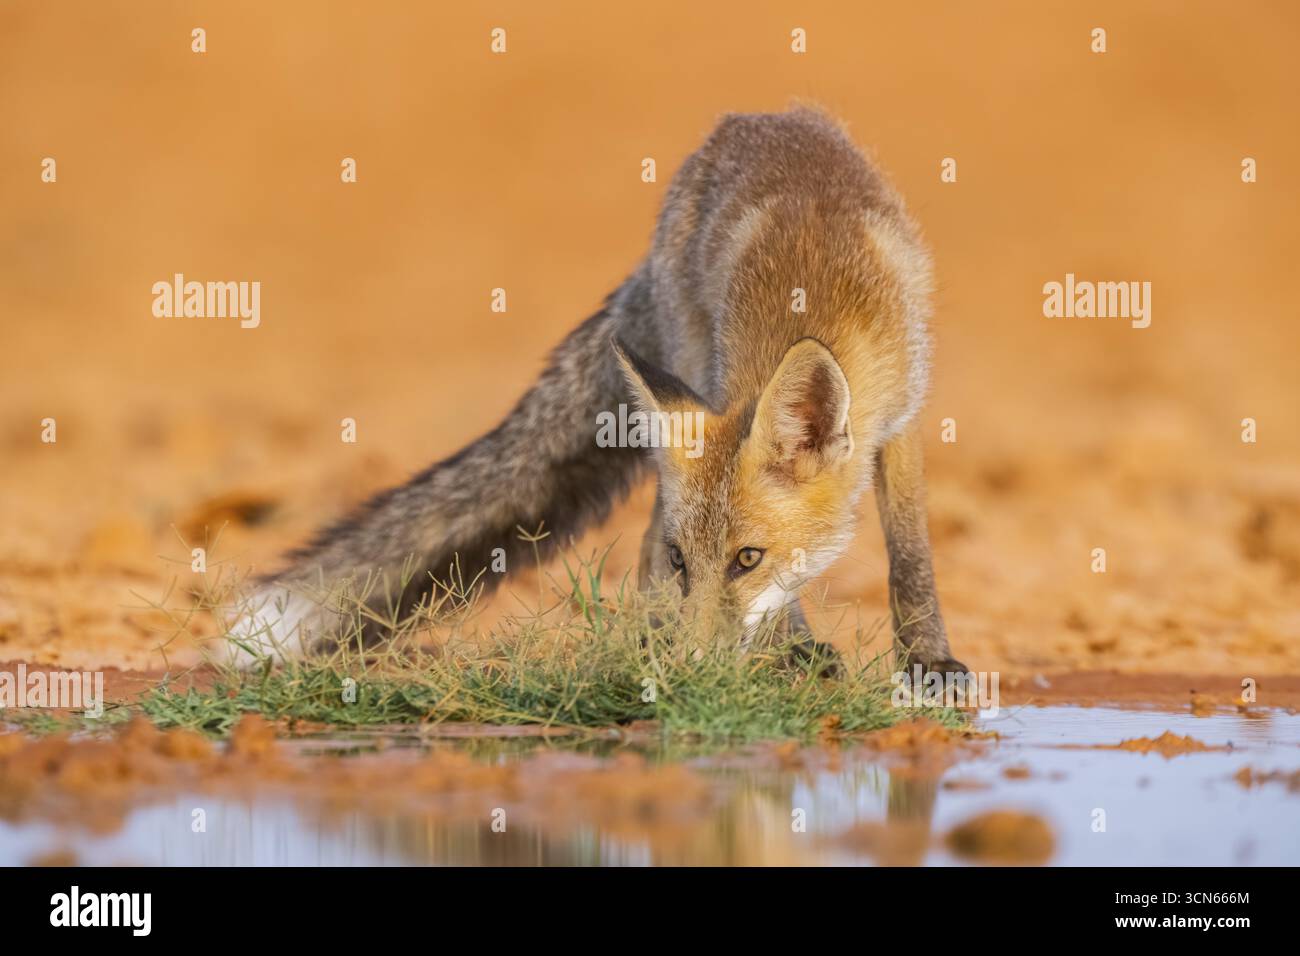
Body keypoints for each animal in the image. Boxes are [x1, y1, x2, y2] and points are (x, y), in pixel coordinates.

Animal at [228, 106, 966, 676]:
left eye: (748, 558)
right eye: (685, 560)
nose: (693, 668)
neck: (819, 305)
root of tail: (749, 119)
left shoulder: (903, 415)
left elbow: (910, 555)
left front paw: (927, 660)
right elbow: (770, 591)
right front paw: (789, 653)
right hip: (688, 376)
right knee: (642, 540)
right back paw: (658, 639)